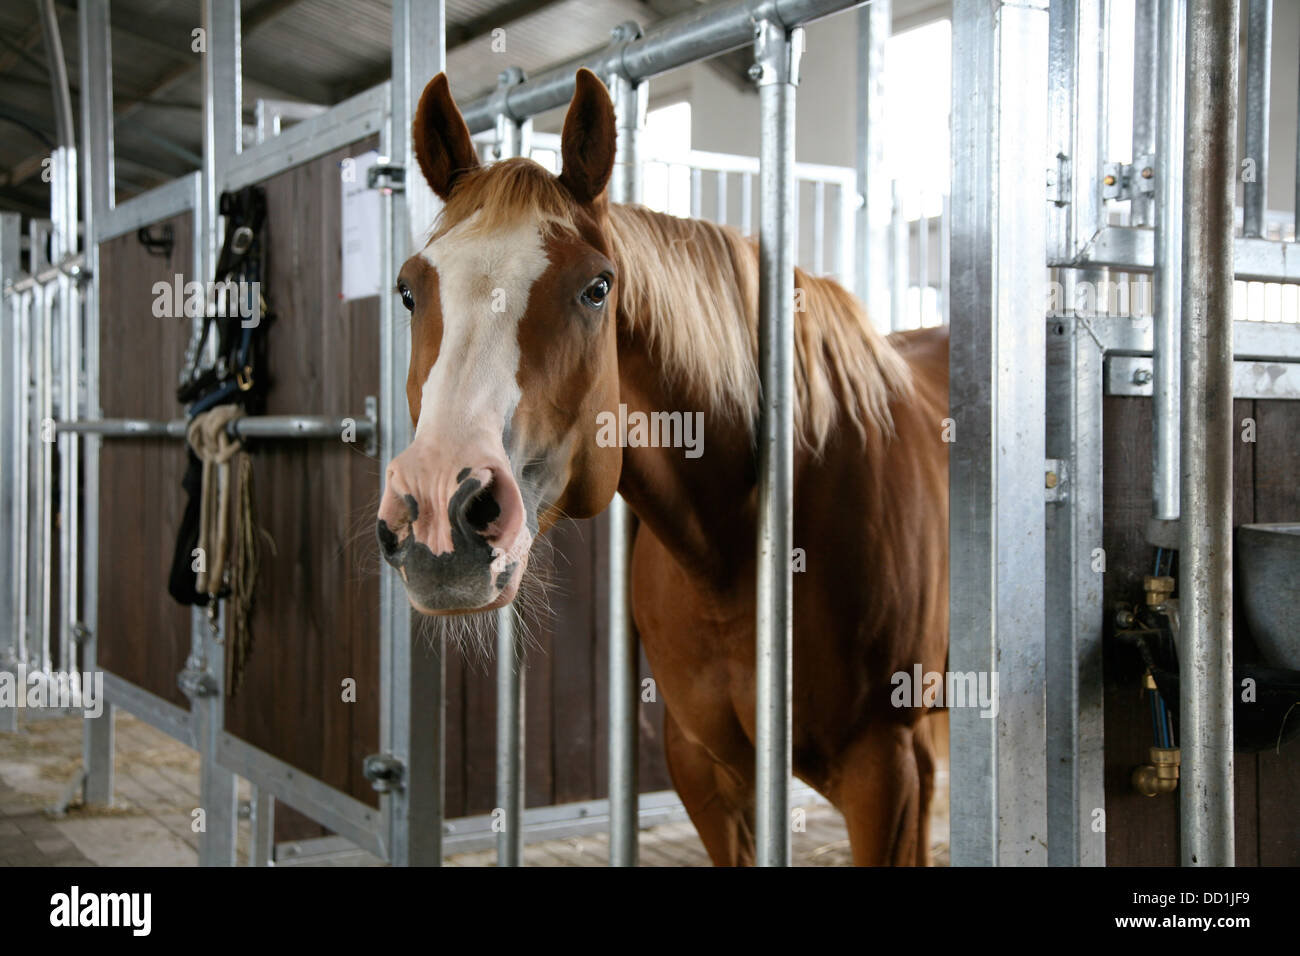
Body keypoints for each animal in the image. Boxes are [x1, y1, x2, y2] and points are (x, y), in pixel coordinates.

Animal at [376, 68, 950, 866]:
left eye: (597, 287)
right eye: (409, 288)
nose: (440, 517)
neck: (733, 556)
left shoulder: (885, 773)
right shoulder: (705, 768)